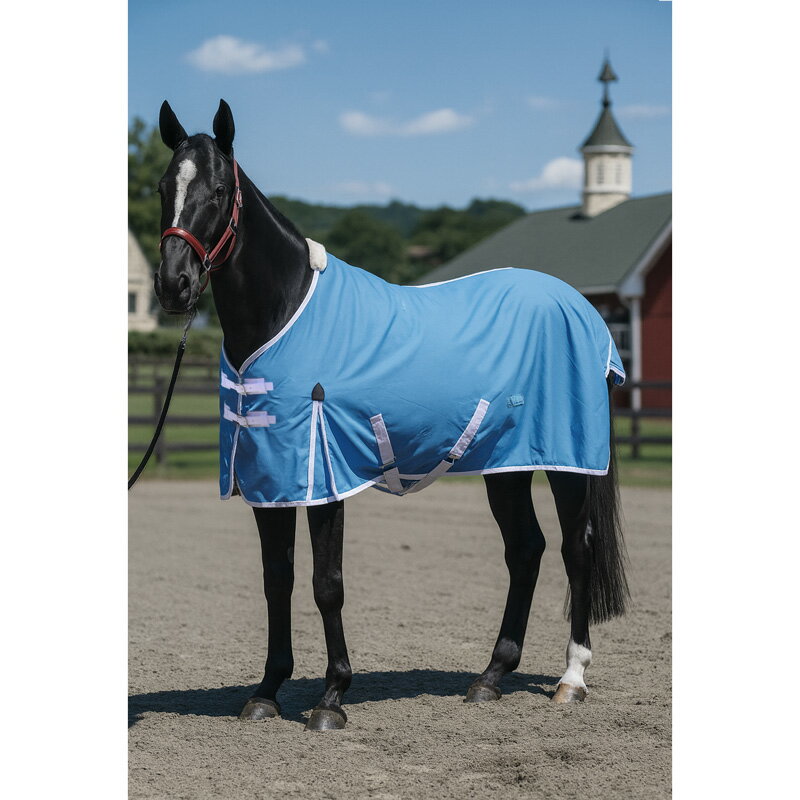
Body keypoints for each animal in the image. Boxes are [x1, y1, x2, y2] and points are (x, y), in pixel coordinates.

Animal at [152, 99, 630, 732]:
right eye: (164, 187)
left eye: (219, 189)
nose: (173, 285)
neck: (284, 314)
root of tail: (581, 309)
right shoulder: (271, 477)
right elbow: (277, 580)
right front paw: (266, 691)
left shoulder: (322, 477)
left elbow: (326, 583)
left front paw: (331, 698)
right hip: (506, 464)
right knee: (525, 550)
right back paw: (490, 678)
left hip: (567, 463)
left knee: (577, 550)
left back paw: (571, 680)